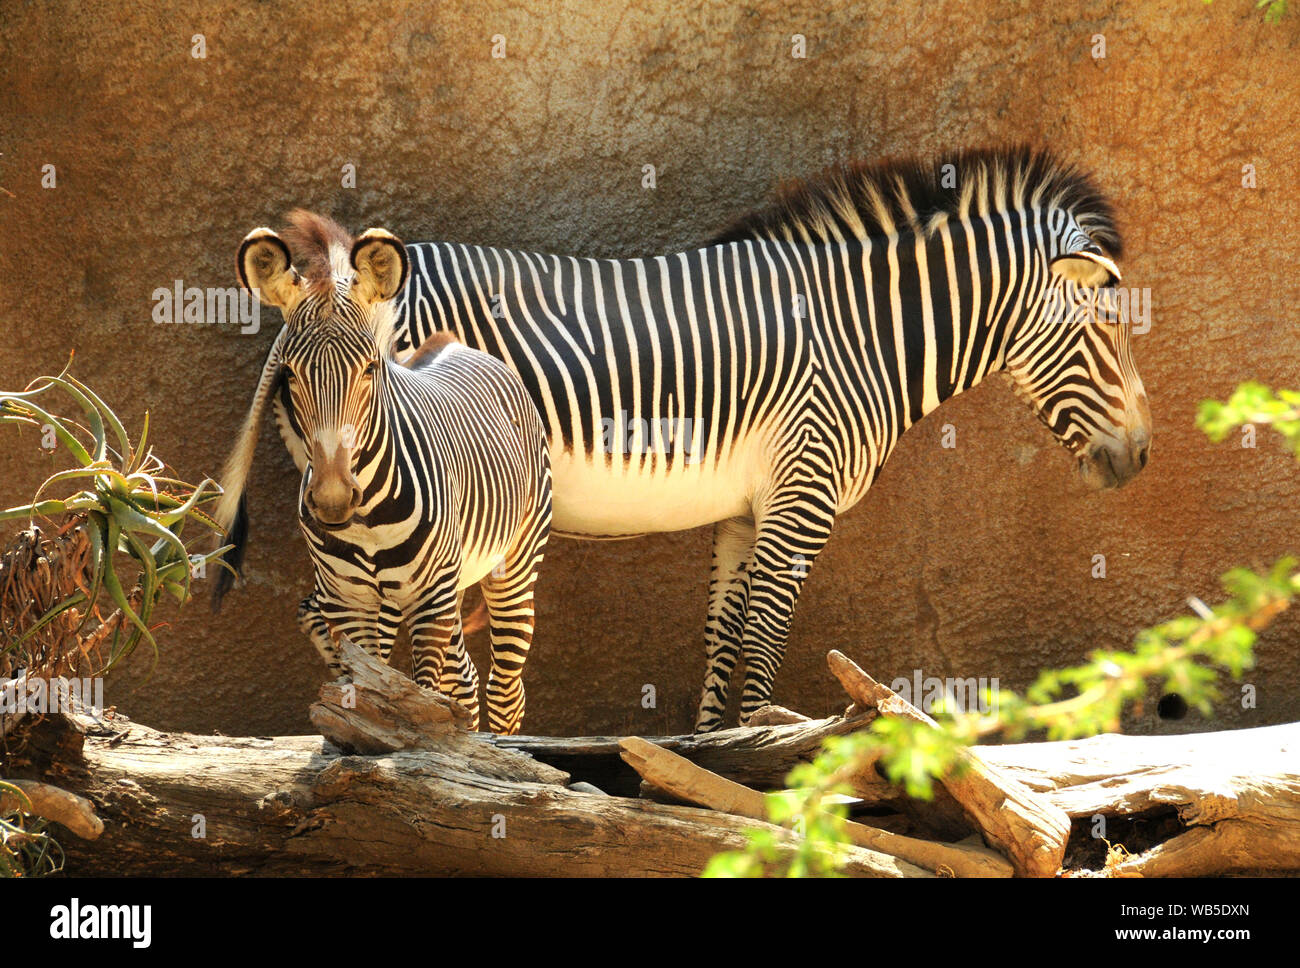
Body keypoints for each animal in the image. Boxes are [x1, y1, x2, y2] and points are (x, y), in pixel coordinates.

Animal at [213, 212, 552, 735]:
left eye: (370, 369)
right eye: (289, 375)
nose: (332, 499)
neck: (369, 518)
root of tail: (453, 343)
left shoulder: (430, 597)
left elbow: (422, 695)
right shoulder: (351, 599)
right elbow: (371, 686)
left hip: (514, 563)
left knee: (504, 688)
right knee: (467, 679)